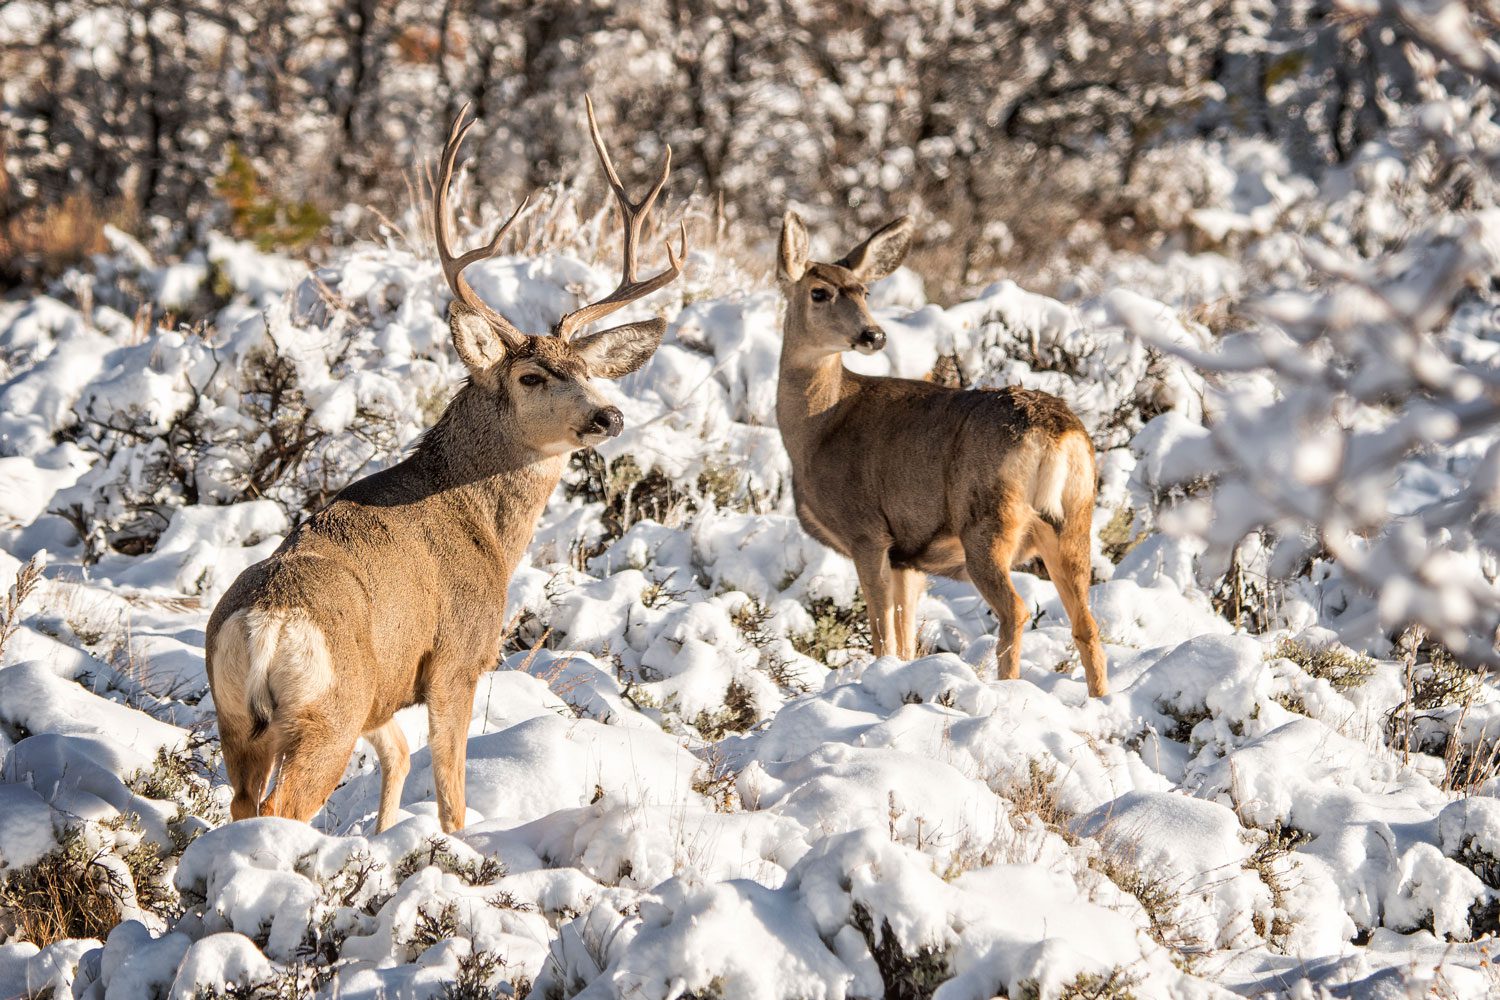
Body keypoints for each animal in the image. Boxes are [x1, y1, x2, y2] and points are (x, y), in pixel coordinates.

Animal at [205, 98, 687, 833]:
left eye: (587, 371)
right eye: (530, 376)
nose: (610, 417)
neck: (482, 525)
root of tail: (266, 627)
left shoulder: (390, 691)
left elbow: (399, 759)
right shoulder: (458, 658)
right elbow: (452, 800)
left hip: (240, 721)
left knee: (239, 804)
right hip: (327, 715)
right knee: (282, 809)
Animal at [774, 212, 1108, 697]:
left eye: (864, 291)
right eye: (820, 292)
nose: (874, 334)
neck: (817, 428)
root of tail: (1054, 433)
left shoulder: (866, 530)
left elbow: (883, 633)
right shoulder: (907, 558)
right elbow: (906, 635)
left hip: (987, 522)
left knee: (1016, 610)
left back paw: (1006, 692)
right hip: (1074, 520)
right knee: (1087, 625)